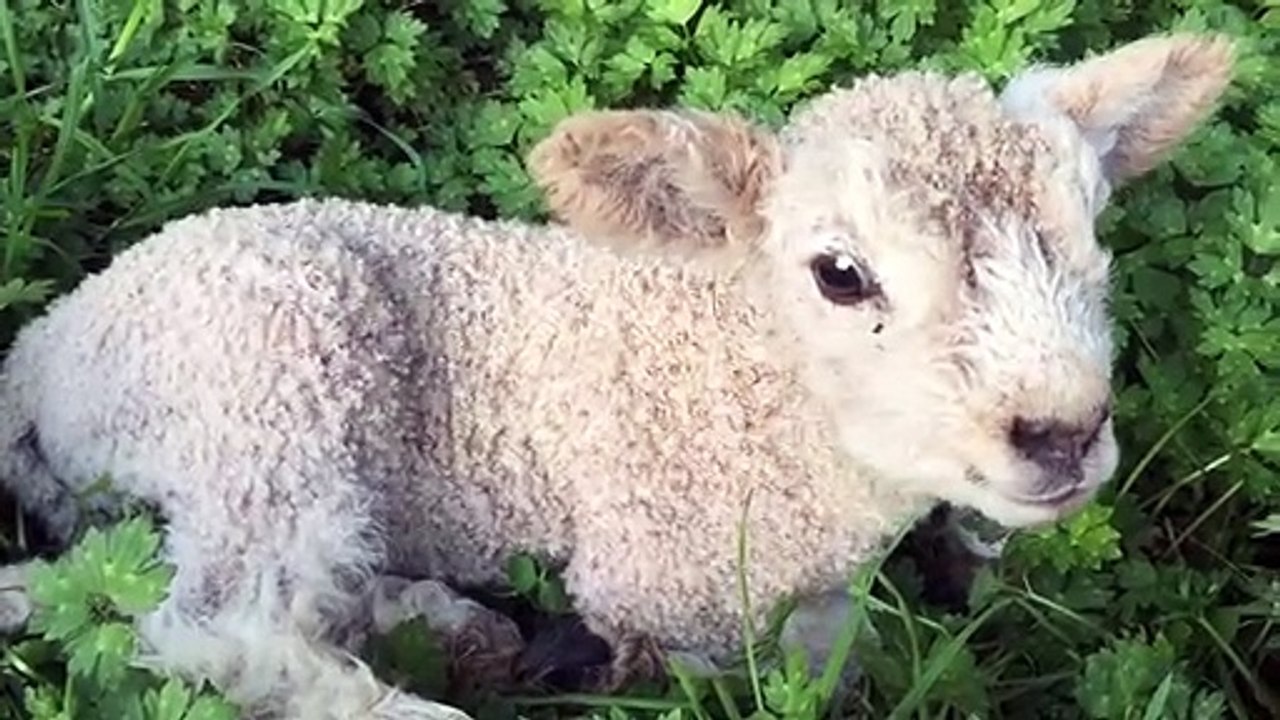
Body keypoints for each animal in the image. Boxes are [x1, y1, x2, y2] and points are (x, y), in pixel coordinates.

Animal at [0, 32, 1233, 719]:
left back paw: (456, 624)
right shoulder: (660, 581)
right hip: (266, 377)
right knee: (222, 624)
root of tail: (42, 349)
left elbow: (844, 639)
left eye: (1088, 232)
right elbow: (789, 659)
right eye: (840, 274)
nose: (1062, 431)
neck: (752, 388)